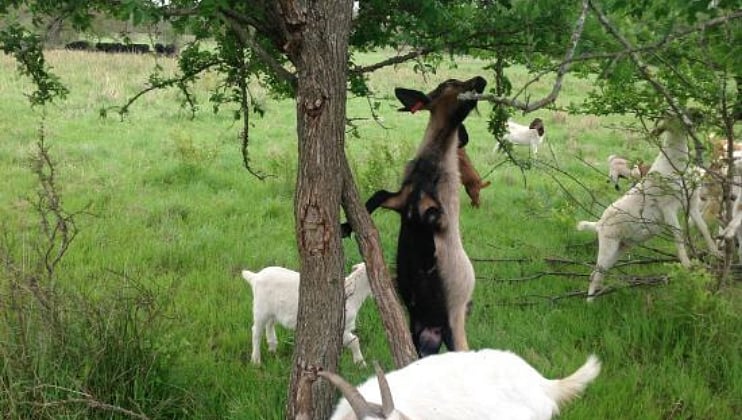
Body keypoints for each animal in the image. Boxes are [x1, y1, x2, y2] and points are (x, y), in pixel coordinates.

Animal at [240, 262, 370, 365]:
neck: (352, 294)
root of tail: (255, 277)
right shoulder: (340, 326)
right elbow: (355, 341)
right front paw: (361, 363)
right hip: (260, 308)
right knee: (256, 332)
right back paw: (256, 360)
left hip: (273, 310)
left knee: (269, 324)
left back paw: (272, 347)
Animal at [343, 77, 486, 356]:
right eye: (449, 83)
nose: (481, 80)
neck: (429, 170)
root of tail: (434, 329)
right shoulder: (401, 199)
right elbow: (377, 195)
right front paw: (345, 227)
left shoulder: (440, 215)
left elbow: (429, 218)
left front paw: (429, 260)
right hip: (421, 336)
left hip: (454, 328)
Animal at [577, 111, 722, 301]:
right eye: (670, 117)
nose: (692, 121)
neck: (674, 165)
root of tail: (598, 224)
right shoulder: (667, 206)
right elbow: (678, 234)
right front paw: (687, 265)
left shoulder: (690, 202)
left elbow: (703, 228)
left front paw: (716, 253)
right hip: (608, 244)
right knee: (595, 274)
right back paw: (590, 302)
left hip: (621, 247)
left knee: (599, 273)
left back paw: (597, 297)